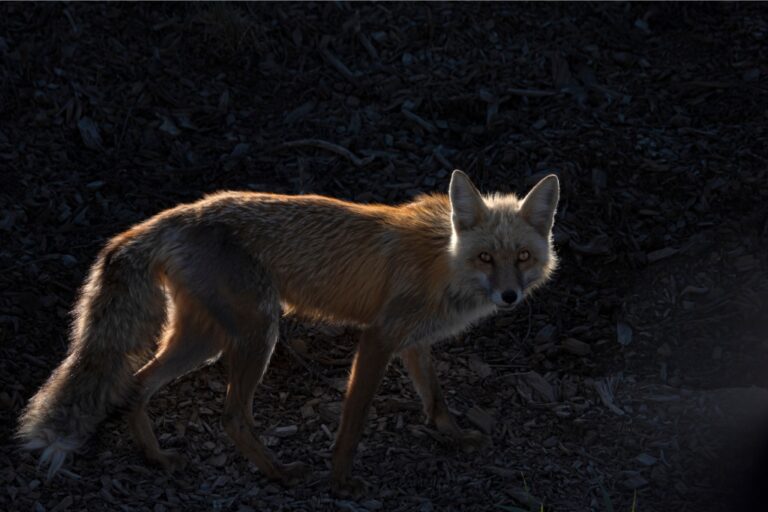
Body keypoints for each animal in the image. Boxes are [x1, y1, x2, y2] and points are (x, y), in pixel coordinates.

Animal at [17, 170, 559, 495]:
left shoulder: (415, 341)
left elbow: (436, 401)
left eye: (522, 258)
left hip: (205, 339)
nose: (509, 296)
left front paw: (455, 436)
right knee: (232, 417)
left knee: (136, 383)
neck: (444, 260)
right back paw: (277, 474)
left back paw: (156, 458)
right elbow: (353, 420)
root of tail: (171, 218)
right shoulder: (379, 337)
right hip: (258, 332)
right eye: (486, 257)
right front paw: (340, 481)